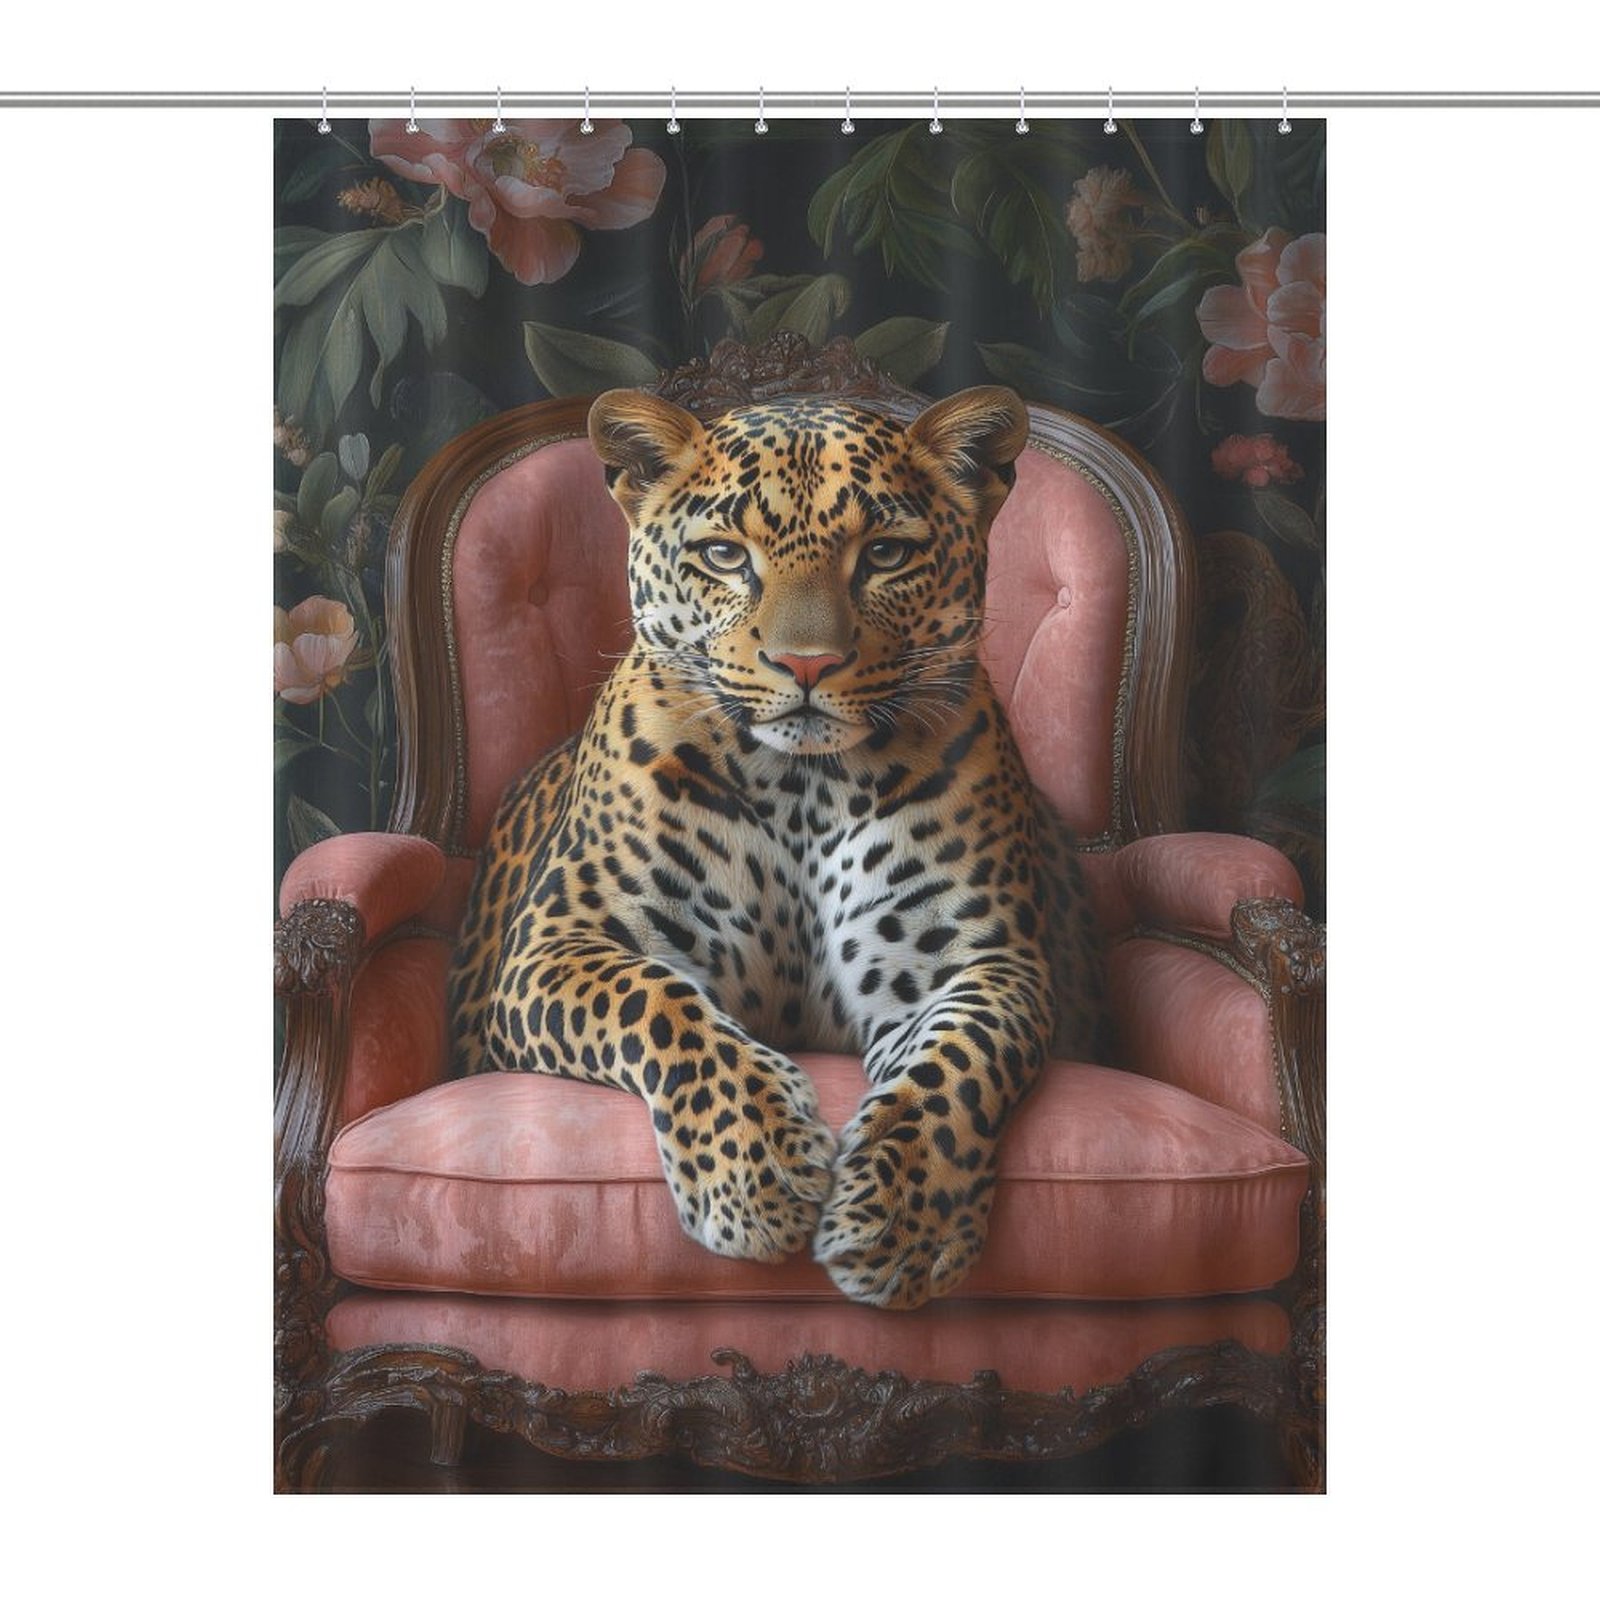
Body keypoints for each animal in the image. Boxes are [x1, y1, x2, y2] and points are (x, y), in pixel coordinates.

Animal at [446, 383, 1109, 1310]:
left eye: (886, 553)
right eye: (725, 555)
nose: (807, 665)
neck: (802, 787)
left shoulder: (976, 964)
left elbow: (959, 1065)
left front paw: (902, 1223)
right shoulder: (559, 945)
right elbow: (661, 1005)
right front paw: (756, 1176)